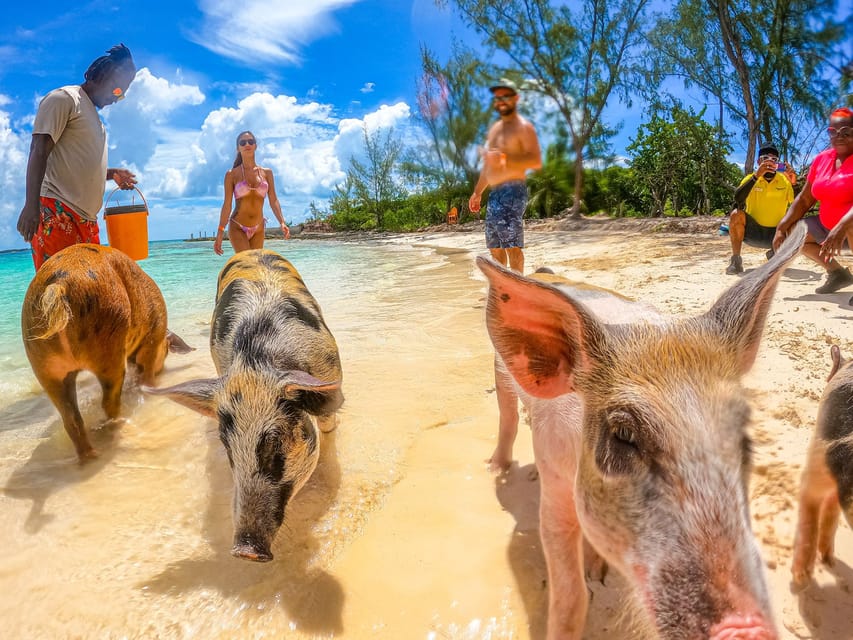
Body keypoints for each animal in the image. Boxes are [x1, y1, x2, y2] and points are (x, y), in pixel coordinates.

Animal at [20, 243, 193, 461]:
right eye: (167, 352)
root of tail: (59, 286)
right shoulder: (151, 341)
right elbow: (146, 377)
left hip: (43, 364)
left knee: (70, 417)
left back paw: (91, 456)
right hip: (109, 341)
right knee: (109, 401)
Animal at [143, 249, 343, 562]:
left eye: (275, 446)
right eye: (228, 448)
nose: (244, 550)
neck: (257, 360)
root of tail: (252, 250)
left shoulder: (328, 371)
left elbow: (328, 429)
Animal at [477, 222, 808, 639]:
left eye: (744, 439)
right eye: (622, 436)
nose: (747, 629)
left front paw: (597, 572)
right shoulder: (554, 479)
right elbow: (570, 596)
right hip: (499, 373)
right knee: (506, 414)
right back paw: (496, 468)